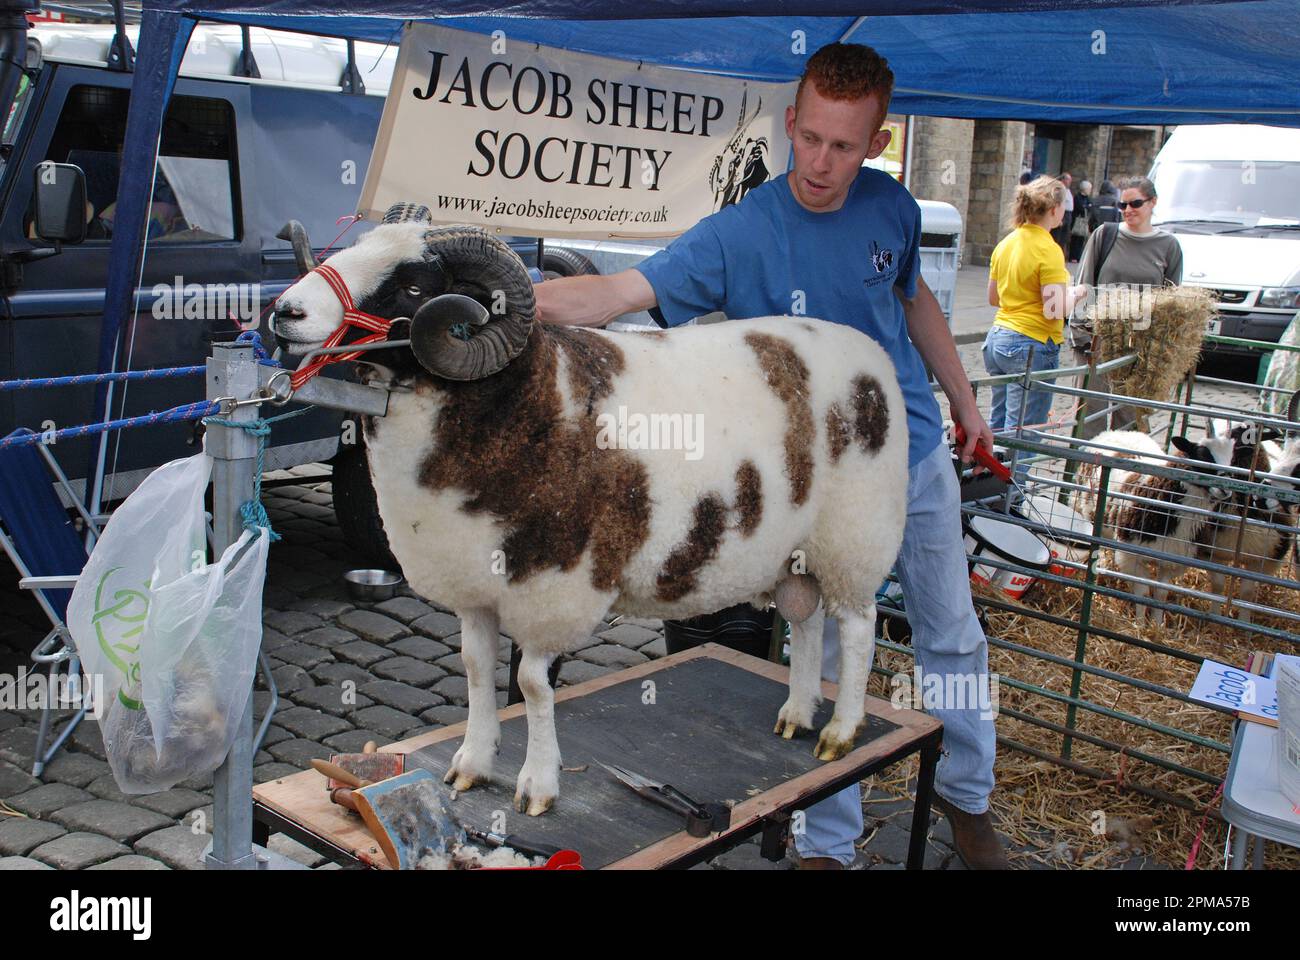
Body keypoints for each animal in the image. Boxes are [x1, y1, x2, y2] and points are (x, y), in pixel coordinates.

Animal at [271, 211, 909, 816]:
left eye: (410, 286)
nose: (283, 311)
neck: (524, 397)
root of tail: (872, 353)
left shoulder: (555, 584)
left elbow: (530, 684)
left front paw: (537, 786)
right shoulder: (473, 584)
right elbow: (476, 668)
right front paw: (471, 764)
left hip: (854, 539)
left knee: (856, 628)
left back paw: (839, 731)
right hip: (798, 552)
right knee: (807, 620)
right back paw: (797, 713)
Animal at [1073, 428, 1235, 625]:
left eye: (1230, 460)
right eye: (1203, 455)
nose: (1226, 490)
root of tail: (1115, 431)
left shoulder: (1170, 560)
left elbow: (1160, 594)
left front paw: (1157, 624)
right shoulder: (1131, 556)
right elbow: (1141, 593)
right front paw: (1140, 624)